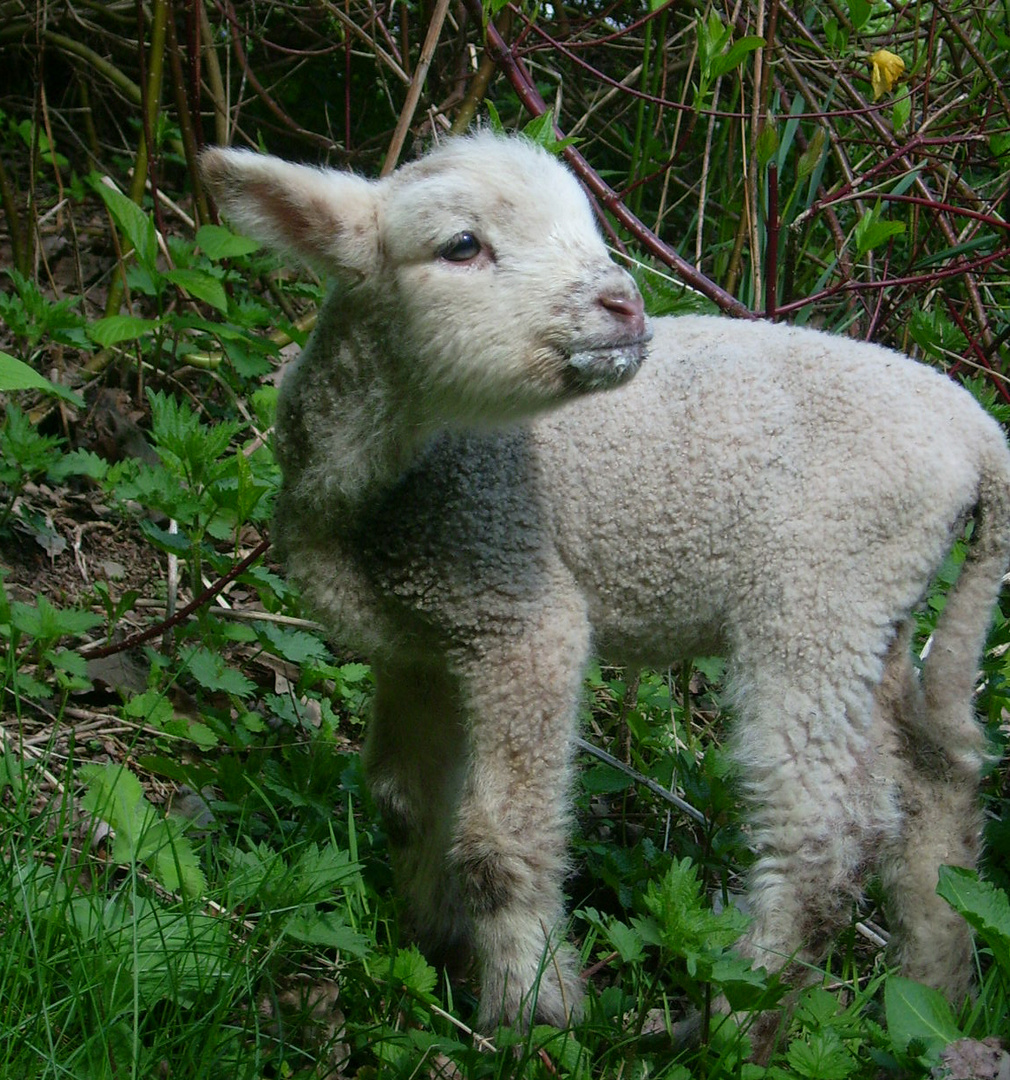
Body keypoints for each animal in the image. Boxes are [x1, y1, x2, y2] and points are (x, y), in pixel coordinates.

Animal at [200, 130, 1010, 1032]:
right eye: (461, 246)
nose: (626, 306)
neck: (380, 481)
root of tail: (978, 435)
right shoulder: (420, 644)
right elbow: (405, 801)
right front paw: (433, 946)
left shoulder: (519, 613)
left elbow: (499, 839)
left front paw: (531, 1012)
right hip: (882, 605)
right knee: (938, 786)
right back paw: (938, 991)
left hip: (817, 597)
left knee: (823, 836)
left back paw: (730, 1022)